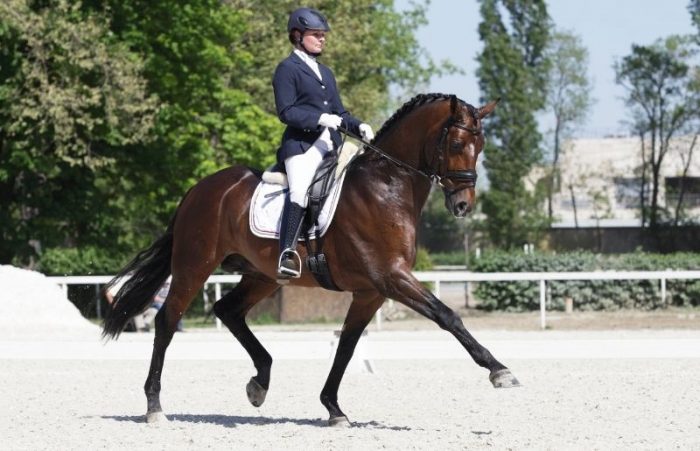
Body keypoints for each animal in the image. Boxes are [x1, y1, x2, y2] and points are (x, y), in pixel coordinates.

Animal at [102, 93, 520, 427]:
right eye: (456, 142)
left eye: (481, 144)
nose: (463, 205)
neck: (386, 186)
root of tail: (200, 189)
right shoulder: (392, 278)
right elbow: (448, 316)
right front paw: (499, 371)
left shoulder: (371, 292)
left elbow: (347, 347)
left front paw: (333, 409)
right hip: (194, 265)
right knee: (167, 321)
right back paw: (155, 407)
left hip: (262, 275)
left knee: (228, 311)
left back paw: (260, 382)